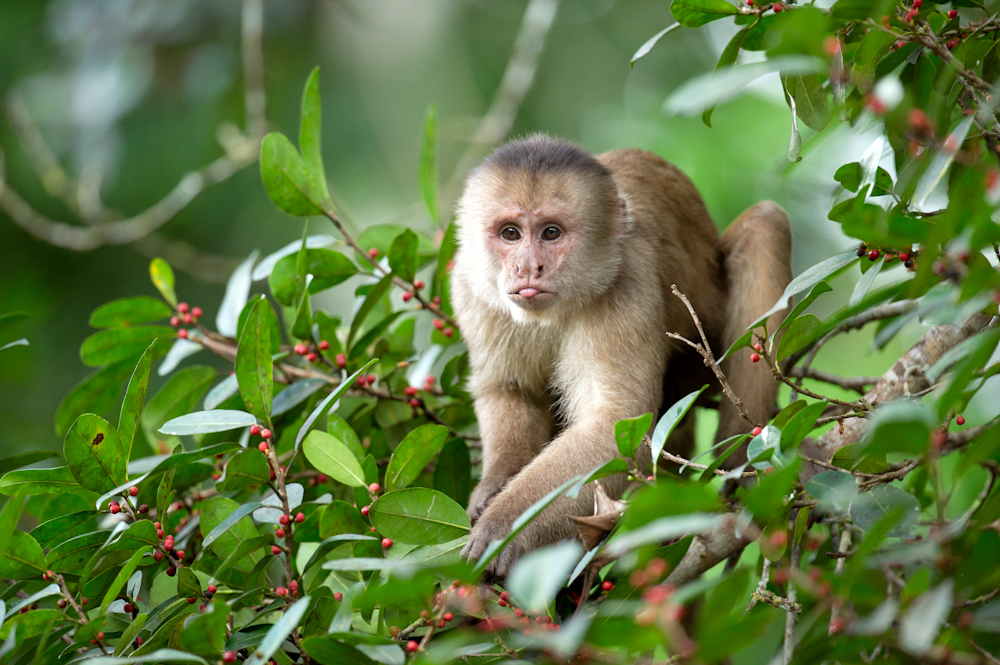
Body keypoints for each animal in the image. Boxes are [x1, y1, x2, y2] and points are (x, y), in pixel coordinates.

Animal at [450, 135, 792, 578]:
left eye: (550, 233)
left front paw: (502, 528)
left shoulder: (628, 280)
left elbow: (616, 422)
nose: (527, 267)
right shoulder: (470, 286)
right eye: (510, 233)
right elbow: (509, 390)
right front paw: (493, 486)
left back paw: (740, 468)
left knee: (765, 223)